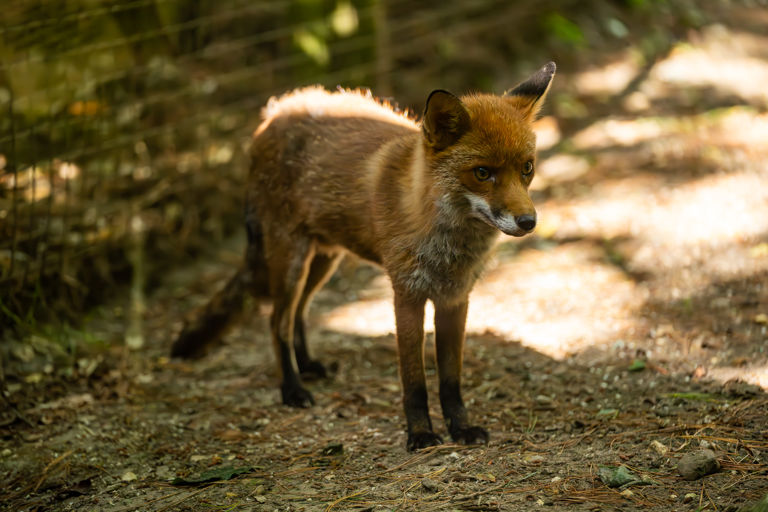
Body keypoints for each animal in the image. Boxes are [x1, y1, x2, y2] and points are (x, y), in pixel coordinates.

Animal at [171, 62, 556, 451]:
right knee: (277, 320)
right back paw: (292, 388)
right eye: (482, 173)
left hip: (323, 259)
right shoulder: (406, 295)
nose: (528, 222)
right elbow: (414, 382)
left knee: (299, 312)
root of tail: (275, 110)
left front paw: (460, 428)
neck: (445, 239)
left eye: (527, 168)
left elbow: (451, 380)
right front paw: (420, 433)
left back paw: (307, 365)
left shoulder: (455, 298)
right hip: (291, 259)